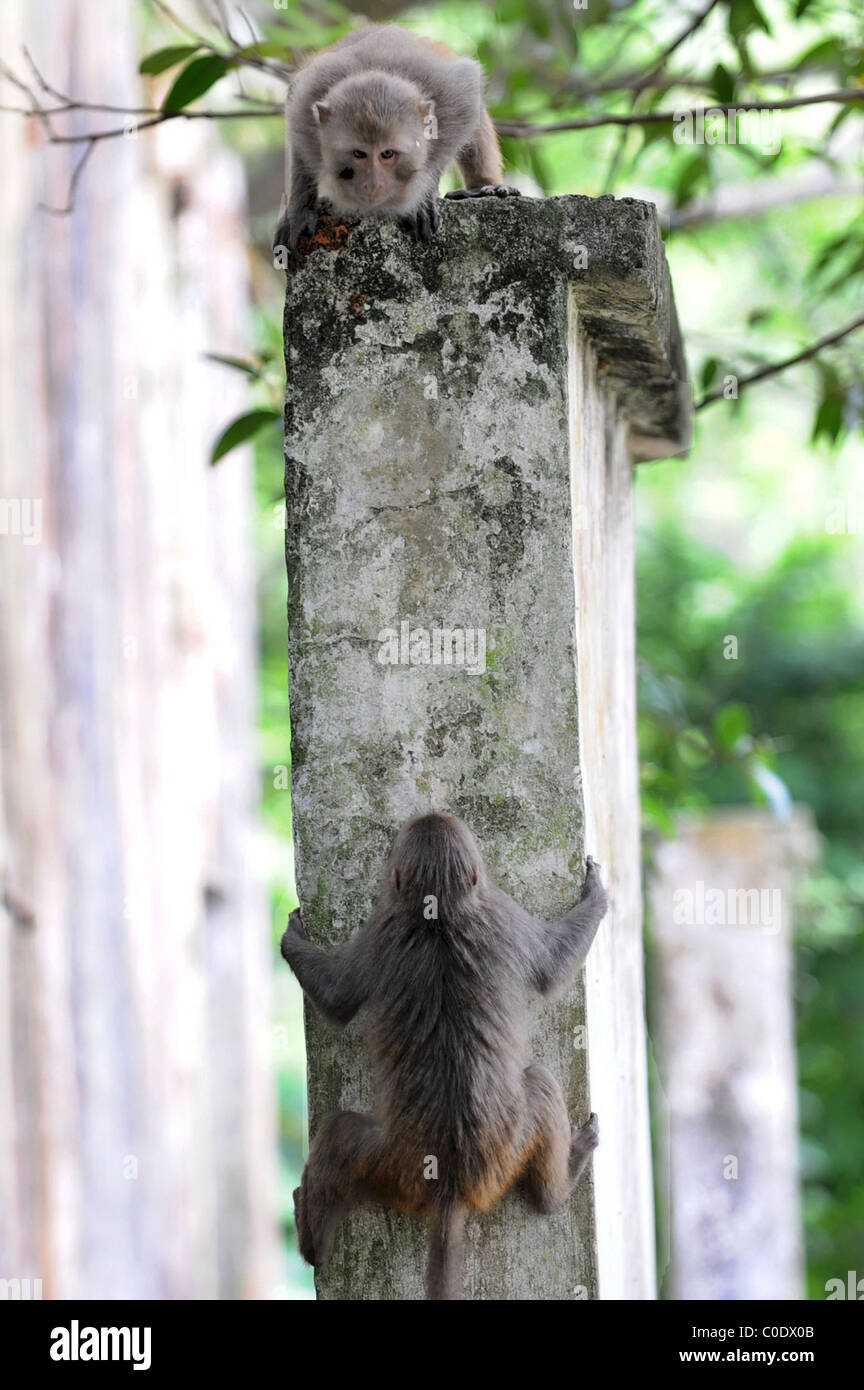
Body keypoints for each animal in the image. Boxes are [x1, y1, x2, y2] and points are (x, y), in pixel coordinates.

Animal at [273, 25, 520, 269]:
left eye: (388, 154)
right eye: (358, 154)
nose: (372, 186)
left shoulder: (450, 91)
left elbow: (465, 105)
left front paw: (422, 197)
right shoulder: (306, 101)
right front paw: (300, 210)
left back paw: (484, 186)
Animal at [280, 811, 608, 1300]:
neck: (441, 913)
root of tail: (450, 1183)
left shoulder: (392, 922)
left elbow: (338, 998)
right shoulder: (487, 912)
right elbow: (552, 967)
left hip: (396, 1163)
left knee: (339, 1136)